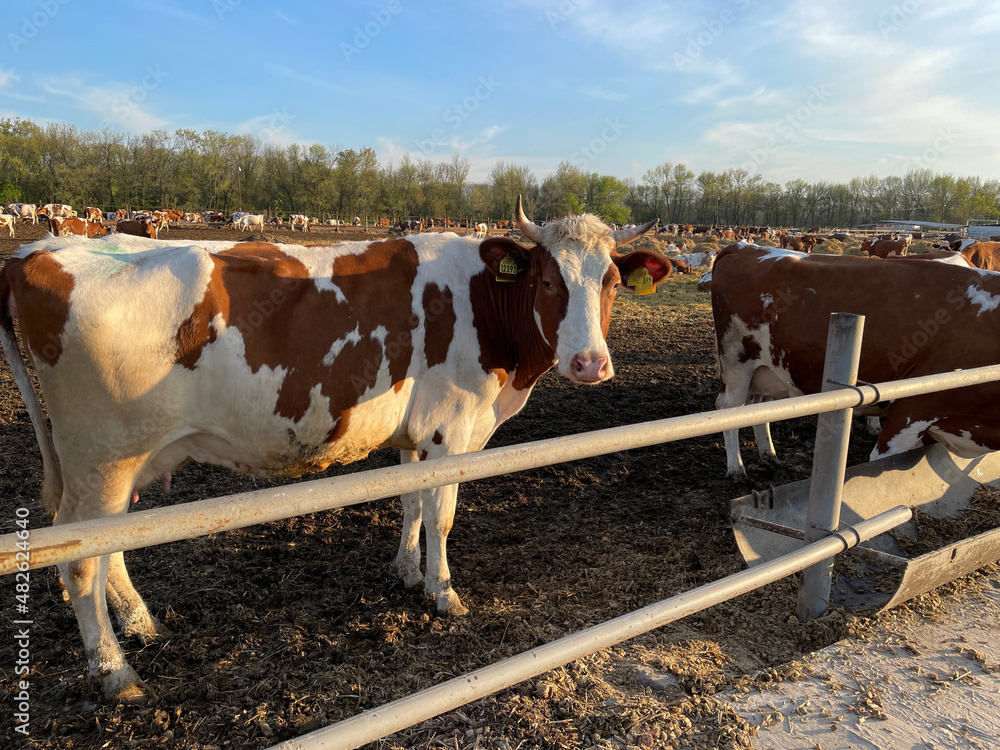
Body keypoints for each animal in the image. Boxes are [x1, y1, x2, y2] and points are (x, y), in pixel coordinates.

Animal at [0, 199, 667, 702]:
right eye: (549, 280)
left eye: (611, 283)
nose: (590, 363)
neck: (484, 305)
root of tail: (38, 252)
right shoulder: (452, 432)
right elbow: (441, 515)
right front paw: (442, 591)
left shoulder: (416, 434)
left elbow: (409, 505)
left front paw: (406, 571)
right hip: (102, 457)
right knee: (80, 560)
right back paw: (115, 672)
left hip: (121, 463)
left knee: (104, 546)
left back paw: (142, 624)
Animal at [705, 241, 1000, 478]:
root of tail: (746, 247)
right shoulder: (911, 409)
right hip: (736, 359)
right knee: (729, 408)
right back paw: (736, 467)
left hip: (769, 367)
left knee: (759, 408)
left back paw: (769, 455)